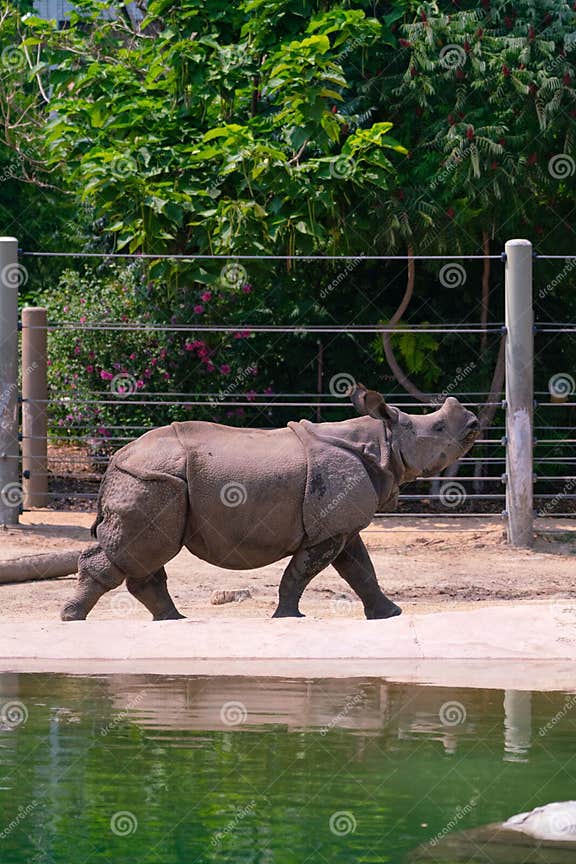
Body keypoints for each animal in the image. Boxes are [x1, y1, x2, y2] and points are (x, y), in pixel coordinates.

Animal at [61, 384, 479, 622]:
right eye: (439, 428)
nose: (474, 420)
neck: (384, 441)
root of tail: (116, 458)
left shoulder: (340, 523)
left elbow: (361, 570)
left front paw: (390, 615)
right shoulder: (328, 529)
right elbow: (302, 571)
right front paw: (288, 617)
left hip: (154, 479)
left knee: (145, 555)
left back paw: (172, 620)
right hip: (153, 479)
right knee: (141, 550)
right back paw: (72, 618)